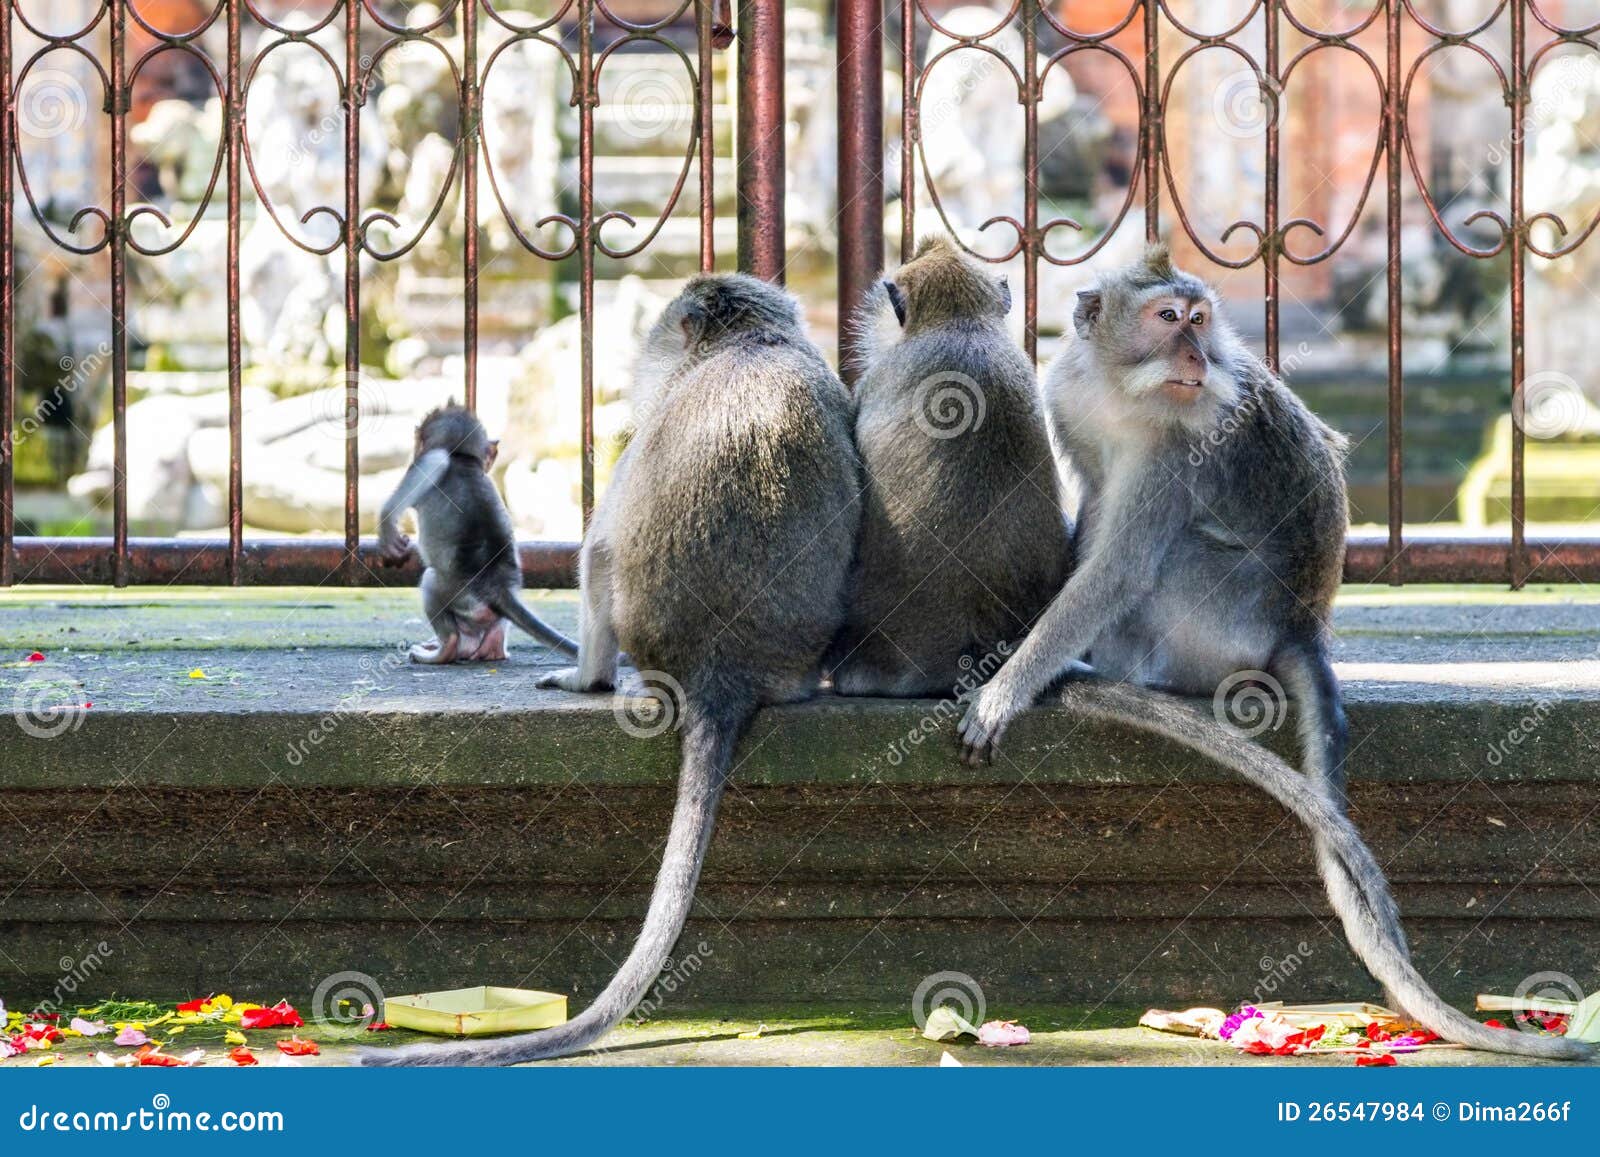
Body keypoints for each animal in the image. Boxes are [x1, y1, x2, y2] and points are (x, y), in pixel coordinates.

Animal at [377, 403, 578, 664]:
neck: (460, 456)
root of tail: (497, 586)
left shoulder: (431, 460)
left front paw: (387, 531)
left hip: (455, 592)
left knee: (431, 583)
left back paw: (442, 651)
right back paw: (492, 648)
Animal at [957, 246, 1592, 1061]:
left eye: (1200, 319)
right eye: (1169, 317)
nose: (1197, 355)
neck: (1120, 388)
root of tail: (1302, 626)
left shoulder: (1177, 446)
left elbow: (1120, 568)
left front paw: (1009, 687)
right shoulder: (1067, 394)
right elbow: (1094, 509)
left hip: (1217, 620)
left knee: (1173, 555)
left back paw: (1110, 673)